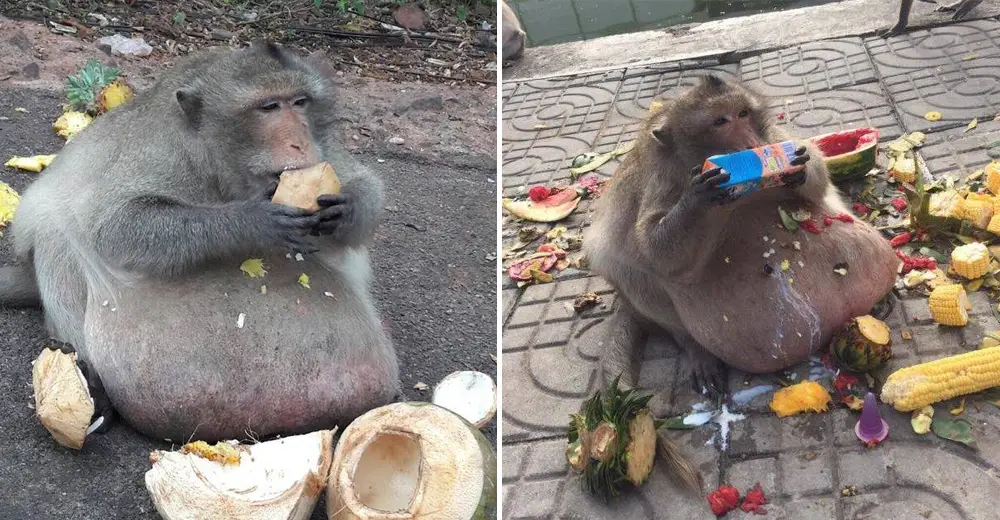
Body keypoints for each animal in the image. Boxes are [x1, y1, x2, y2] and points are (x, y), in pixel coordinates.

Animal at [0, 41, 402, 442]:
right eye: (269, 107)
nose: (300, 141)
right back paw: (96, 393)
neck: (218, 166)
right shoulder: (160, 150)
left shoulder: (326, 147)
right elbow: (116, 225)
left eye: (300, 102)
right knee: (57, 235)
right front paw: (250, 222)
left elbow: (366, 186)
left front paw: (347, 208)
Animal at [583, 75, 898, 397]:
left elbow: (819, 182)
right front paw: (699, 197)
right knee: (625, 269)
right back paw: (696, 350)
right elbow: (654, 250)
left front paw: (797, 165)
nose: (750, 142)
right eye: (720, 121)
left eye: (743, 113)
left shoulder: (772, 134)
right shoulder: (661, 177)